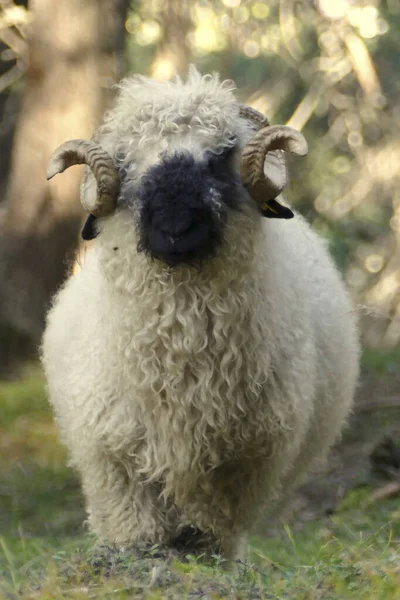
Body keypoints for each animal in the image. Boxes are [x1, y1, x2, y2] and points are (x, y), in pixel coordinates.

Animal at [40, 68, 360, 560]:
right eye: (126, 164)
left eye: (223, 155)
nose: (175, 230)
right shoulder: (111, 454)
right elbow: (136, 527)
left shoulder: (245, 461)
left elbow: (210, 525)